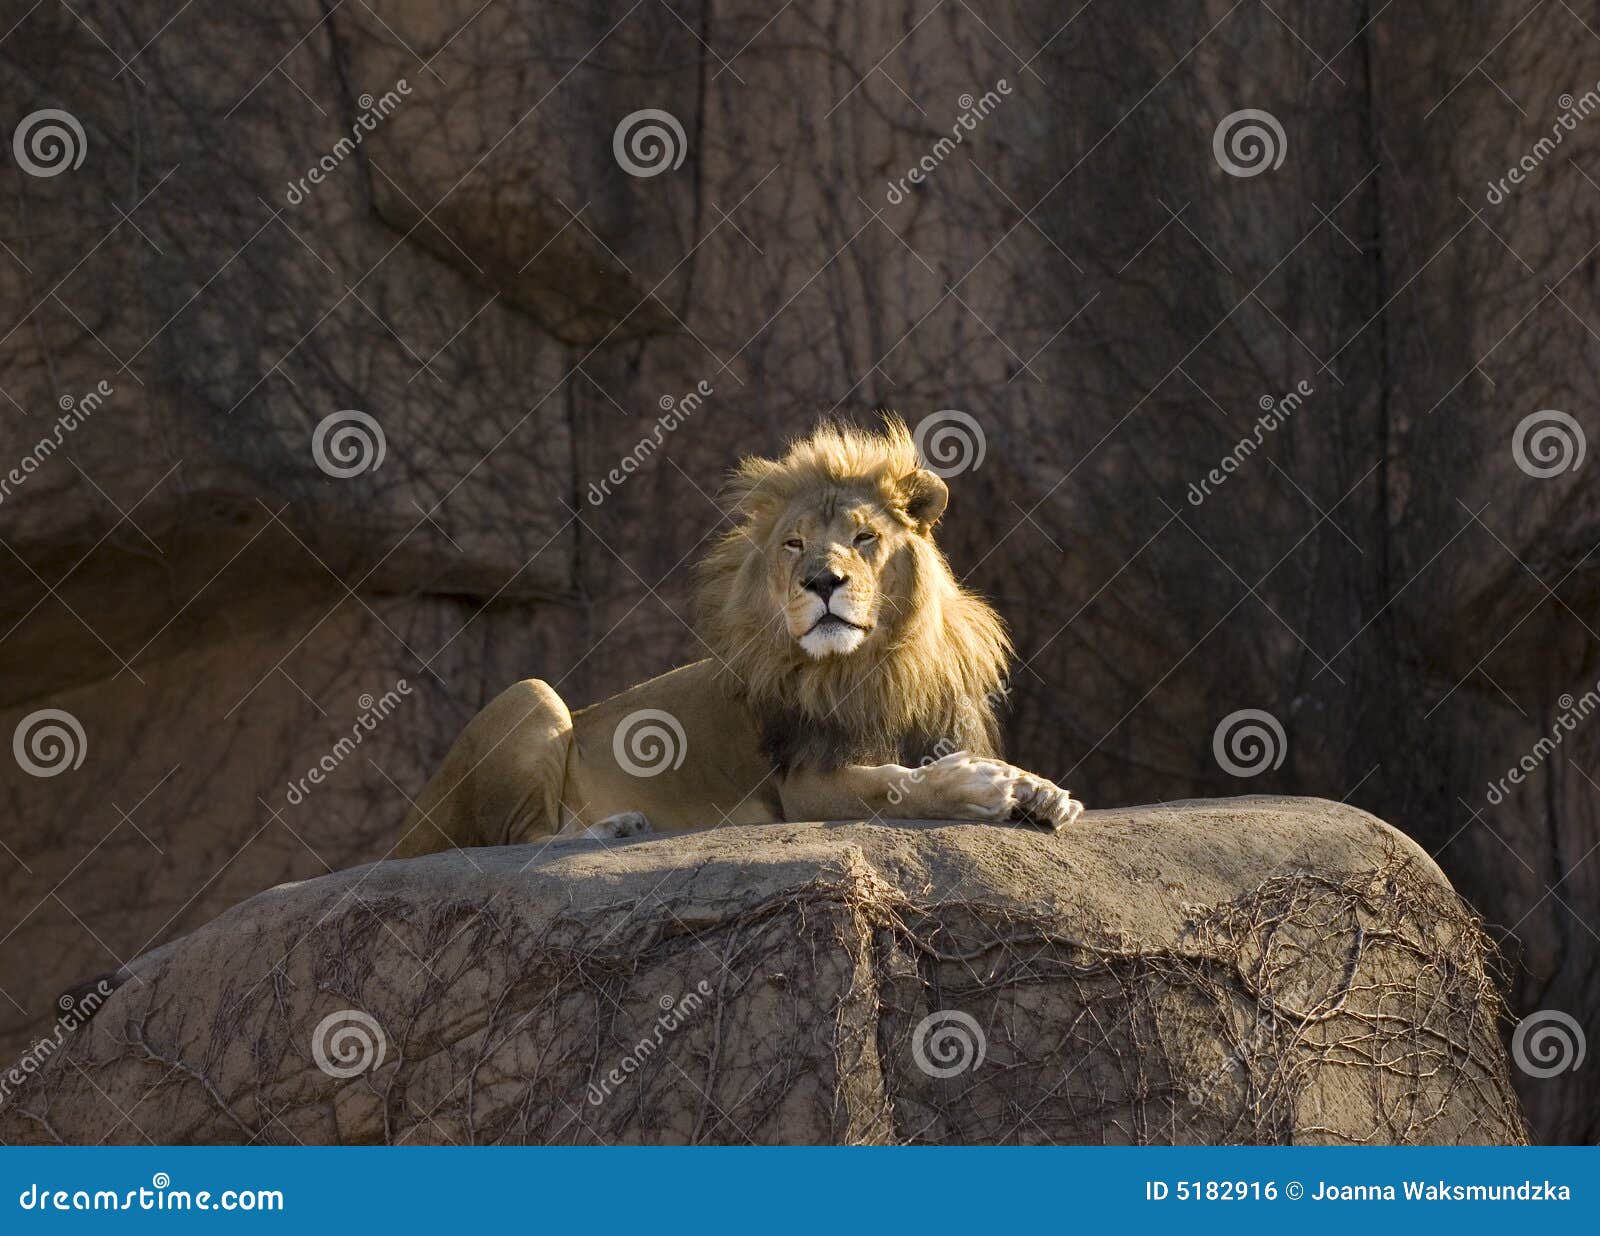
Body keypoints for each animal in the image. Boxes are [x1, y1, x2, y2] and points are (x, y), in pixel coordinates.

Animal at [394, 416, 1084, 857]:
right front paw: (982, 787)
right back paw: (616, 828)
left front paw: (1042, 791)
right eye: (794, 544)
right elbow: (894, 786)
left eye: (864, 536)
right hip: (531, 694)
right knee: (516, 839)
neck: (875, 662)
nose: (823, 581)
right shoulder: (805, 785)